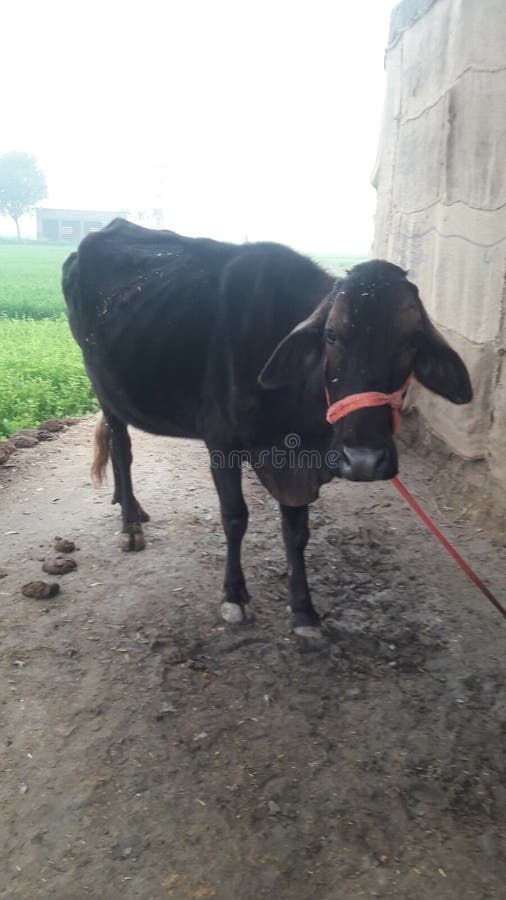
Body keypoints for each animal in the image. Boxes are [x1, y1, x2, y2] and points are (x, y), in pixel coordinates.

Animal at [62, 218, 472, 638]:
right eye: (331, 335)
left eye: (412, 341)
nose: (363, 460)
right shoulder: (222, 445)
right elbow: (235, 518)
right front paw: (234, 597)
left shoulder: (299, 463)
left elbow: (296, 533)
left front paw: (304, 611)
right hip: (104, 389)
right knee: (121, 448)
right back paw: (130, 523)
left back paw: (131, 507)